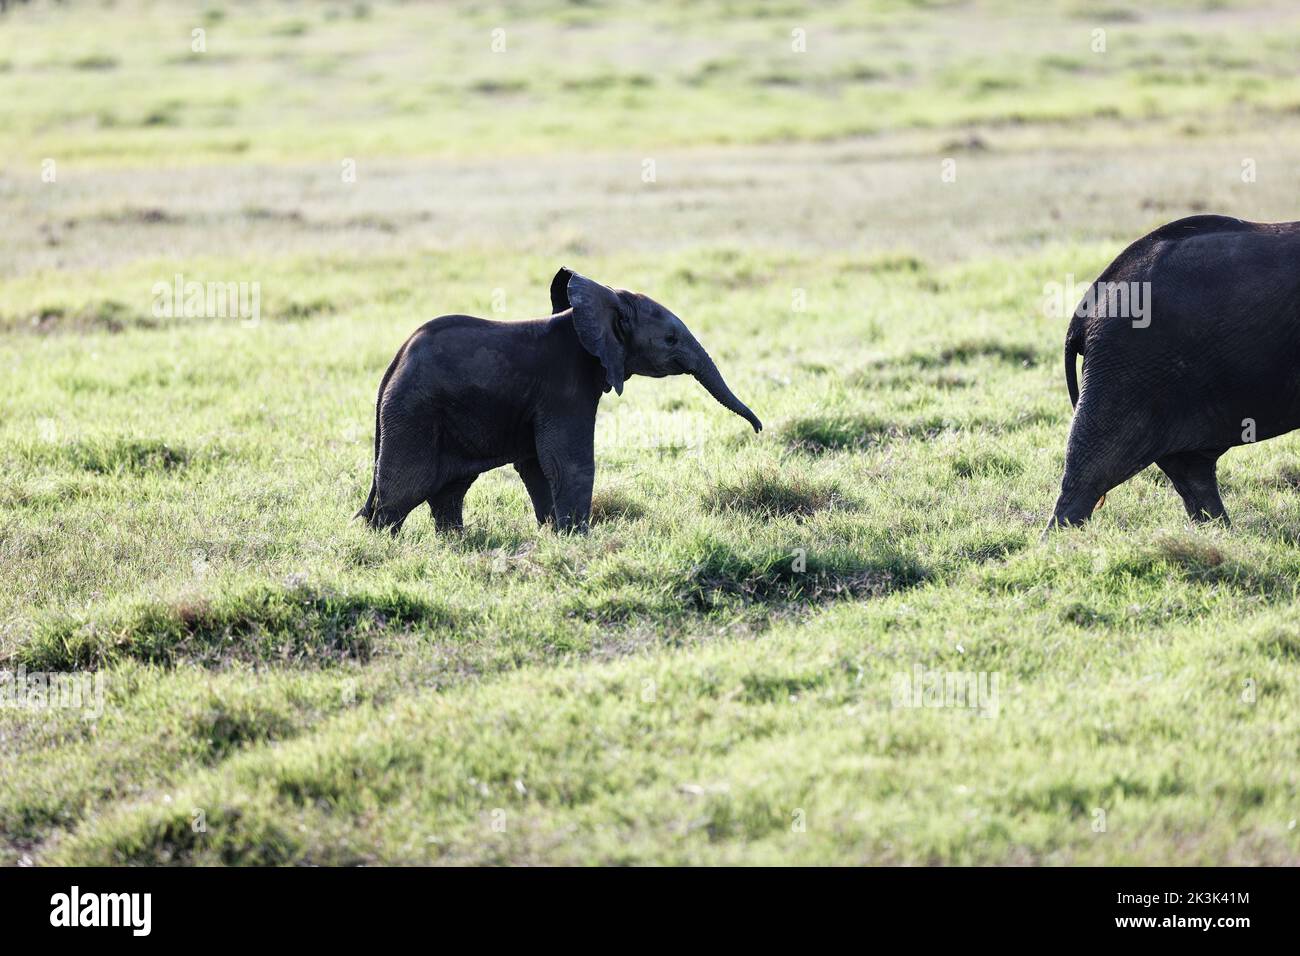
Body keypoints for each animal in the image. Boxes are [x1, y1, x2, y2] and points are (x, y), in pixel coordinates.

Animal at [357, 267, 762, 533]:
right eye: (671, 340)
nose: (759, 429)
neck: (596, 308)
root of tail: (392, 367)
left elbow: (538, 464)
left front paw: (555, 534)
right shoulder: (565, 386)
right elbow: (567, 461)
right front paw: (578, 538)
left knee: (449, 491)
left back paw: (456, 541)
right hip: (413, 415)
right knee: (403, 493)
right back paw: (384, 546)